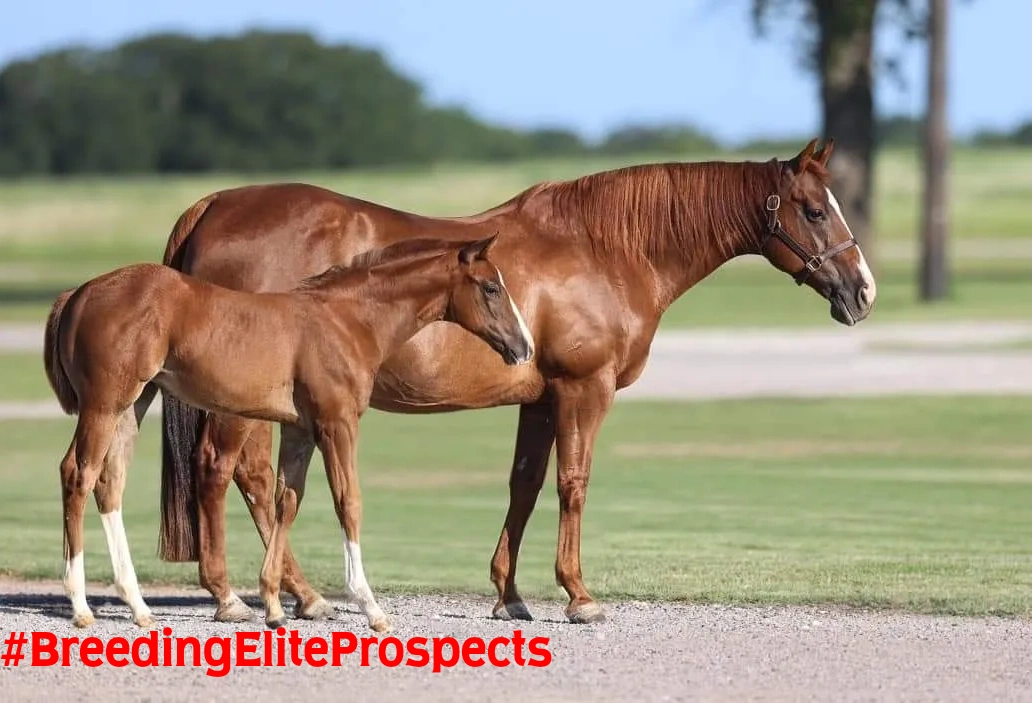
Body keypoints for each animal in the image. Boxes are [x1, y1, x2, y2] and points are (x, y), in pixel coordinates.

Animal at [42, 235, 533, 630]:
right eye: (491, 287)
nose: (524, 347)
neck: (347, 320)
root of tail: (78, 293)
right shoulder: (338, 423)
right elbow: (348, 502)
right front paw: (370, 607)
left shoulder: (301, 430)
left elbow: (286, 502)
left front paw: (276, 606)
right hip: (104, 404)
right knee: (77, 474)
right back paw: (81, 608)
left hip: (133, 404)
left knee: (110, 483)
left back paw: (139, 608)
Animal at [156, 138, 877, 626]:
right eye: (814, 210)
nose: (862, 291)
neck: (606, 248)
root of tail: (214, 205)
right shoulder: (585, 390)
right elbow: (573, 484)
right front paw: (579, 596)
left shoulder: (541, 400)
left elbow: (524, 486)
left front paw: (510, 595)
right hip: (240, 403)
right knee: (220, 468)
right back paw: (230, 596)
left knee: (257, 481)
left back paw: (303, 597)